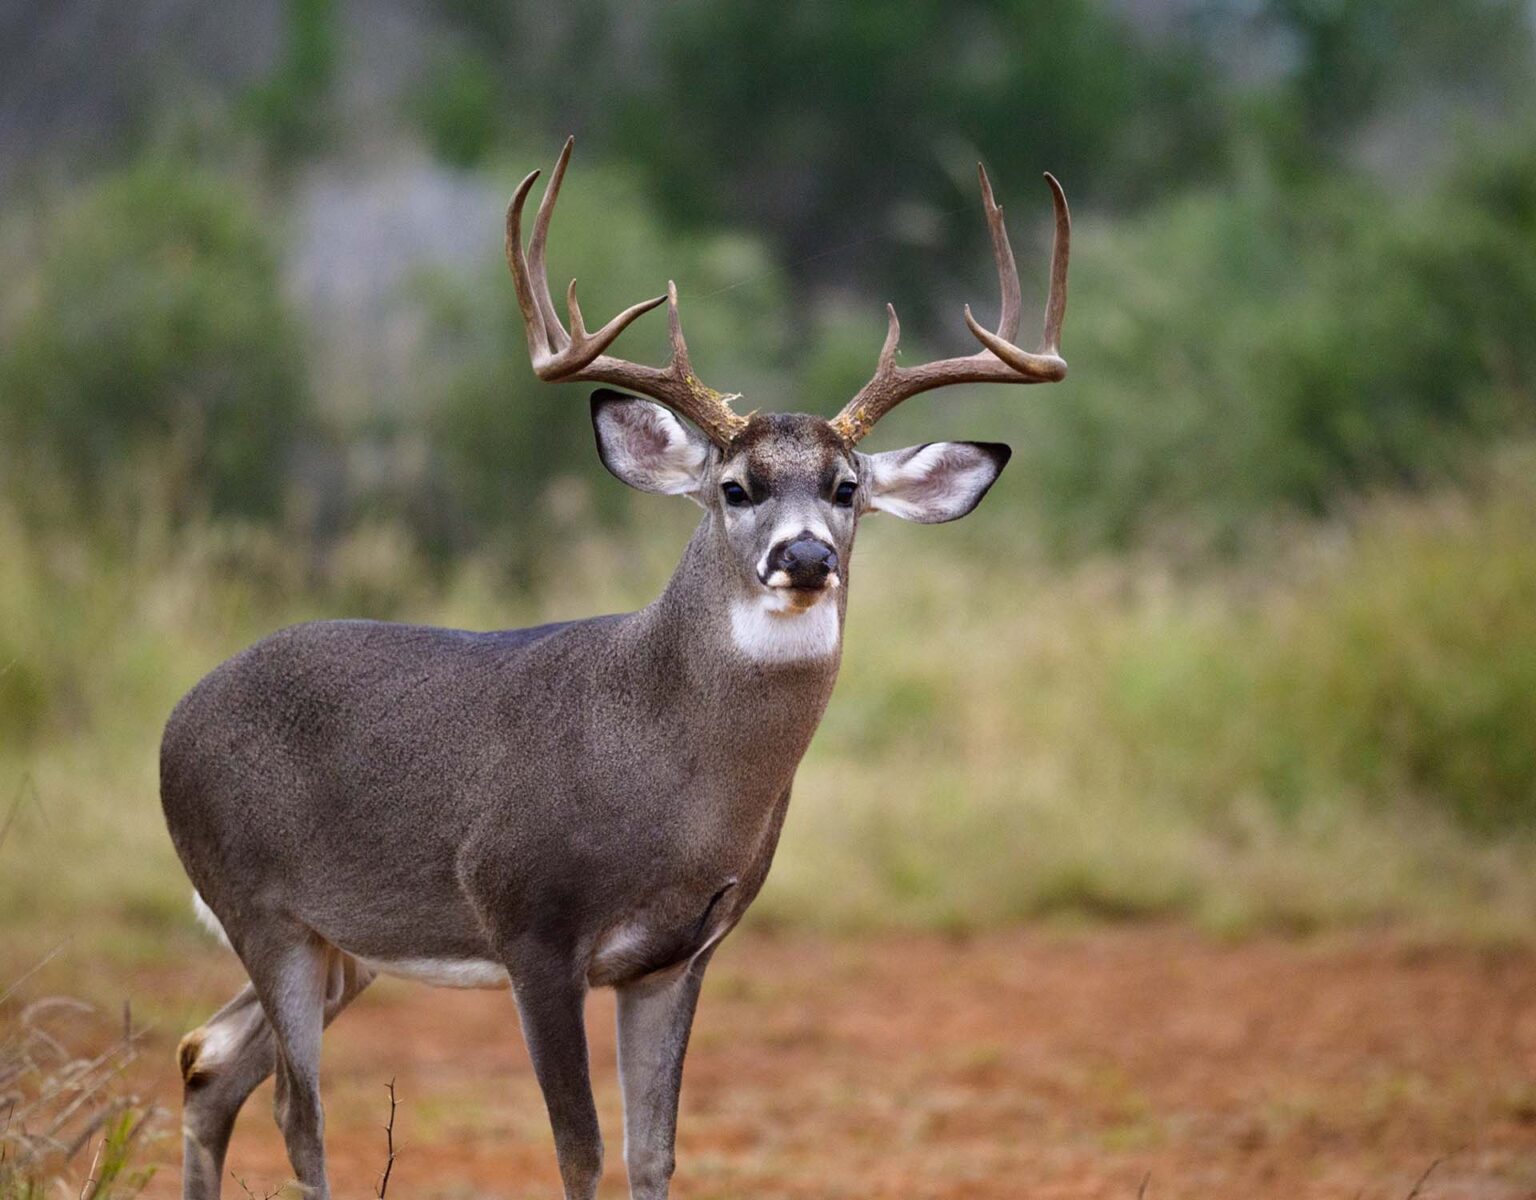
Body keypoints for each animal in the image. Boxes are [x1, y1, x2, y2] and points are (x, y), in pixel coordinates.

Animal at [161, 136, 1070, 1200]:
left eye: (847, 488)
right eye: (736, 488)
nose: (806, 556)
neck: (667, 775)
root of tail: (177, 717)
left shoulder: (679, 953)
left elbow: (653, 1149)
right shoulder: (530, 924)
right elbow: (580, 1148)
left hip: (342, 940)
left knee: (209, 1058)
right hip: (256, 902)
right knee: (295, 1111)